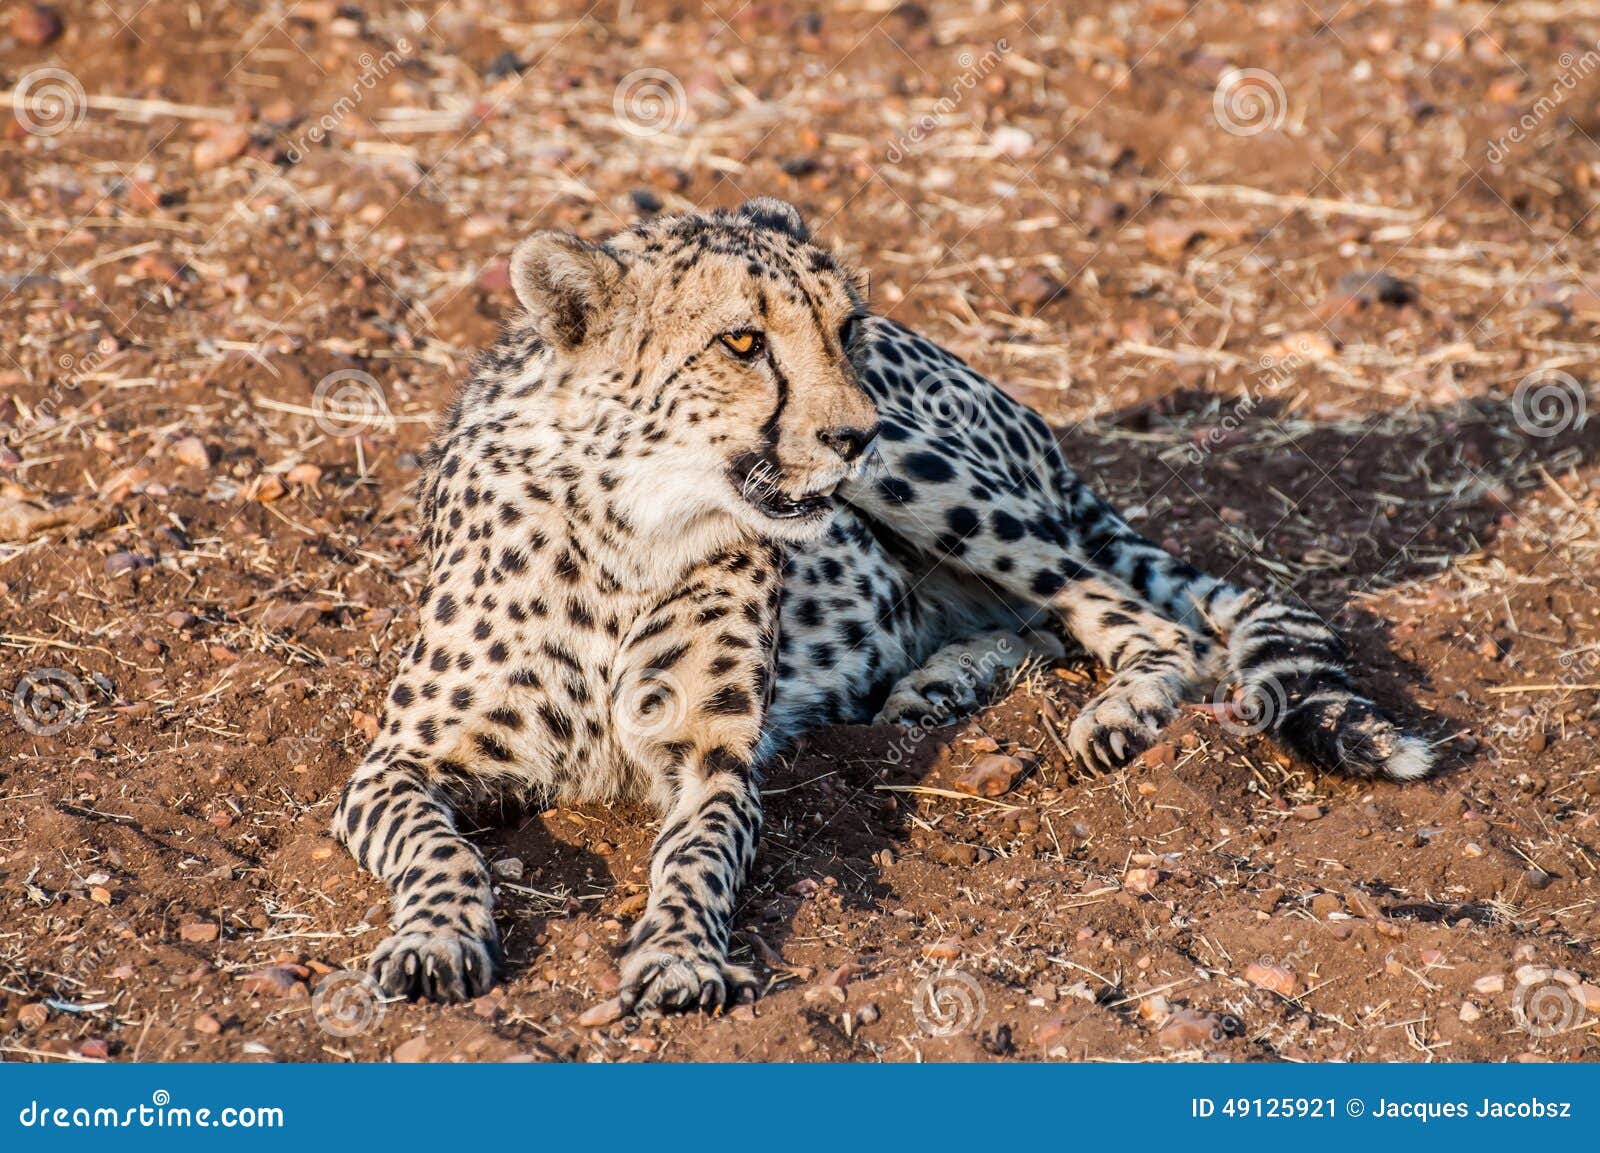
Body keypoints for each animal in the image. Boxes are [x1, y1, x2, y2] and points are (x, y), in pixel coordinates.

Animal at [332, 197, 1435, 1012]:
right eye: (742, 341)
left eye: (842, 326)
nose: (850, 433)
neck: (627, 527)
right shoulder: (395, 765)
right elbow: (438, 848)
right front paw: (435, 937)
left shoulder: (713, 758)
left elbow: (698, 855)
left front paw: (680, 953)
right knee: (1035, 619)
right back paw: (938, 683)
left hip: (931, 476)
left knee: (1135, 616)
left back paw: (1111, 709)